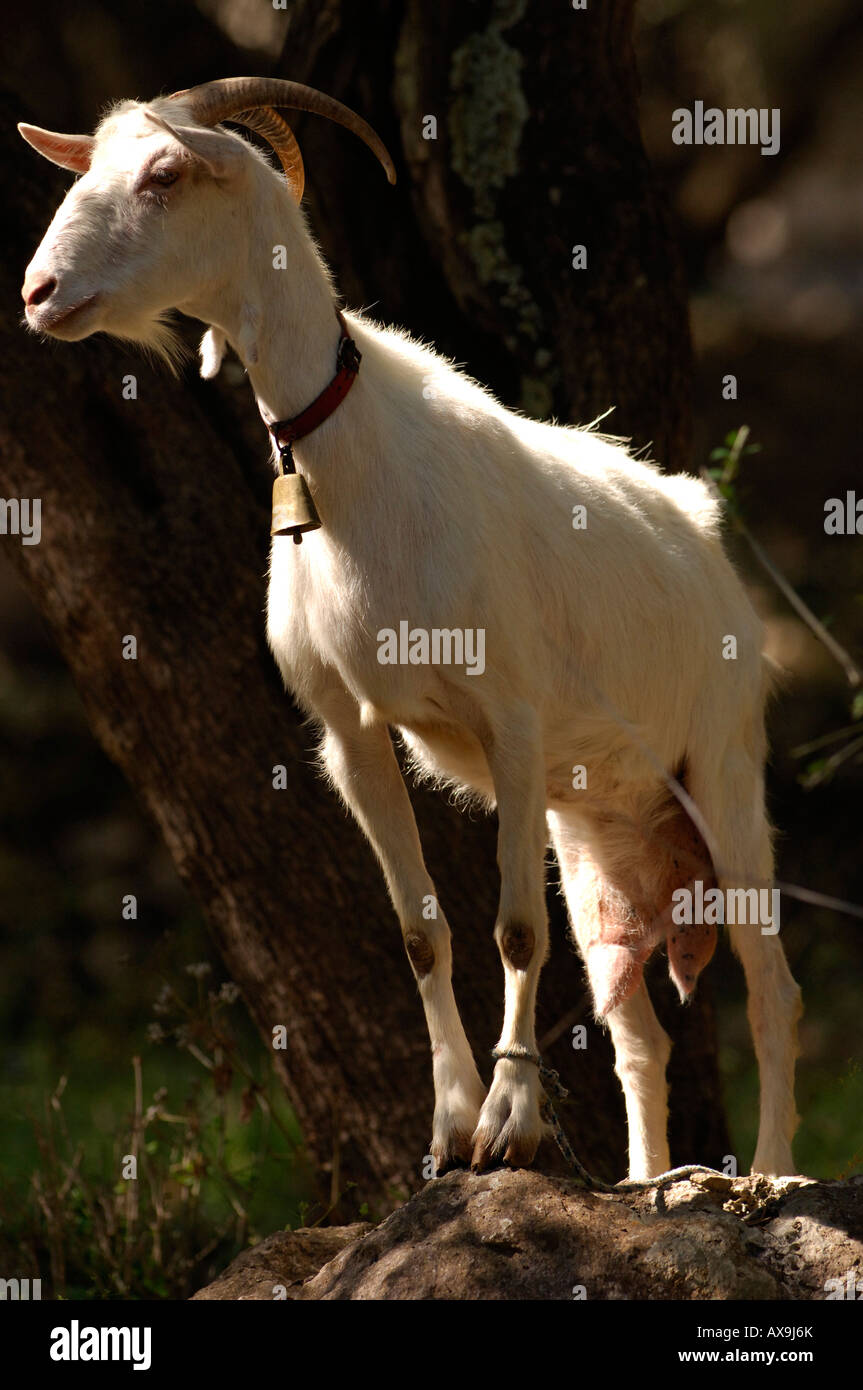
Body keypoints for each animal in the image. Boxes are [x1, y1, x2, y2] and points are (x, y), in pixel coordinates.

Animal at [19, 77, 802, 1180]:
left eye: (164, 174)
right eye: (85, 169)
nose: (40, 293)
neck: (355, 473)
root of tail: (704, 537)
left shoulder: (510, 717)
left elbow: (512, 932)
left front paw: (510, 1126)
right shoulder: (349, 729)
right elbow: (421, 933)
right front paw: (447, 1128)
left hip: (721, 771)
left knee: (771, 991)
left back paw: (770, 1172)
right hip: (593, 831)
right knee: (636, 1024)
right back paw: (647, 1178)